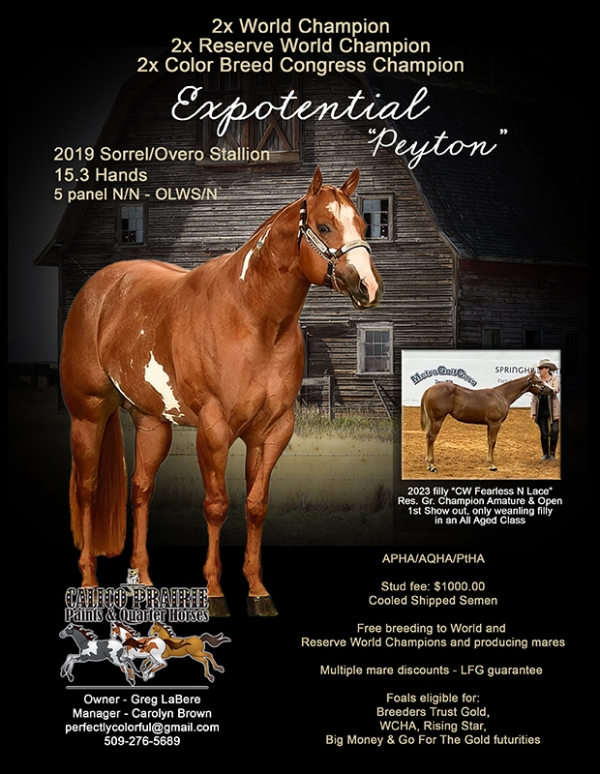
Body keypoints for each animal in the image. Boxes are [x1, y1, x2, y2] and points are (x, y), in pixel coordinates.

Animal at [60, 167, 383, 617]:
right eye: (323, 226)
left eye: (365, 225)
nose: (368, 287)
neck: (252, 319)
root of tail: (99, 289)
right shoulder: (214, 430)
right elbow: (216, 505)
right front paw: (214, 594)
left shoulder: (272, 431)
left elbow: (256, 505)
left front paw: (258, 591)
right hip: (88, 415)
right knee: (87, 490)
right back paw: (89, 584)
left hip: (151, 422)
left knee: (141, 488)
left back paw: (143, 583)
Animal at [420, 370, 554, 473]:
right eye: (539, 381)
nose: (552, 390)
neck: (502, 395)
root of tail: (429, 389)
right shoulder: (495, 423)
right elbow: (493, 442)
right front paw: (492, 465)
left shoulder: (489, 425)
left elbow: (489, 441)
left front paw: (489, 462)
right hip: (437, 420)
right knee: (431, 439)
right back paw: (432, 466)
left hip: (433, 421)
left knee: (428, 437)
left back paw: (428, 464)